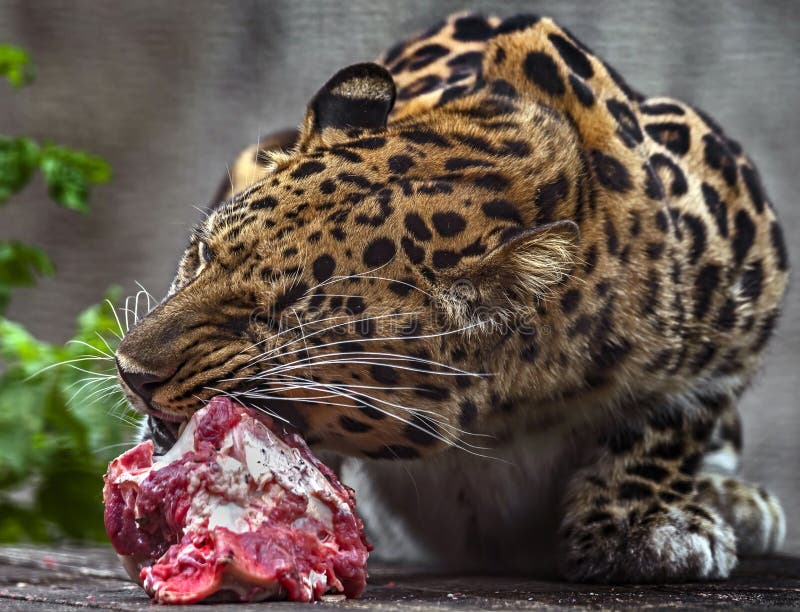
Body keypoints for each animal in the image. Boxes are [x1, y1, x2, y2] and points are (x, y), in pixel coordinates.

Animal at [115, 12, 790, 583]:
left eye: (280, 317)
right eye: (202, 255)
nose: (130, 371)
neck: (507, 409)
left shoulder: (743, 258)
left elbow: (676, 414)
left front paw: (643, 526)